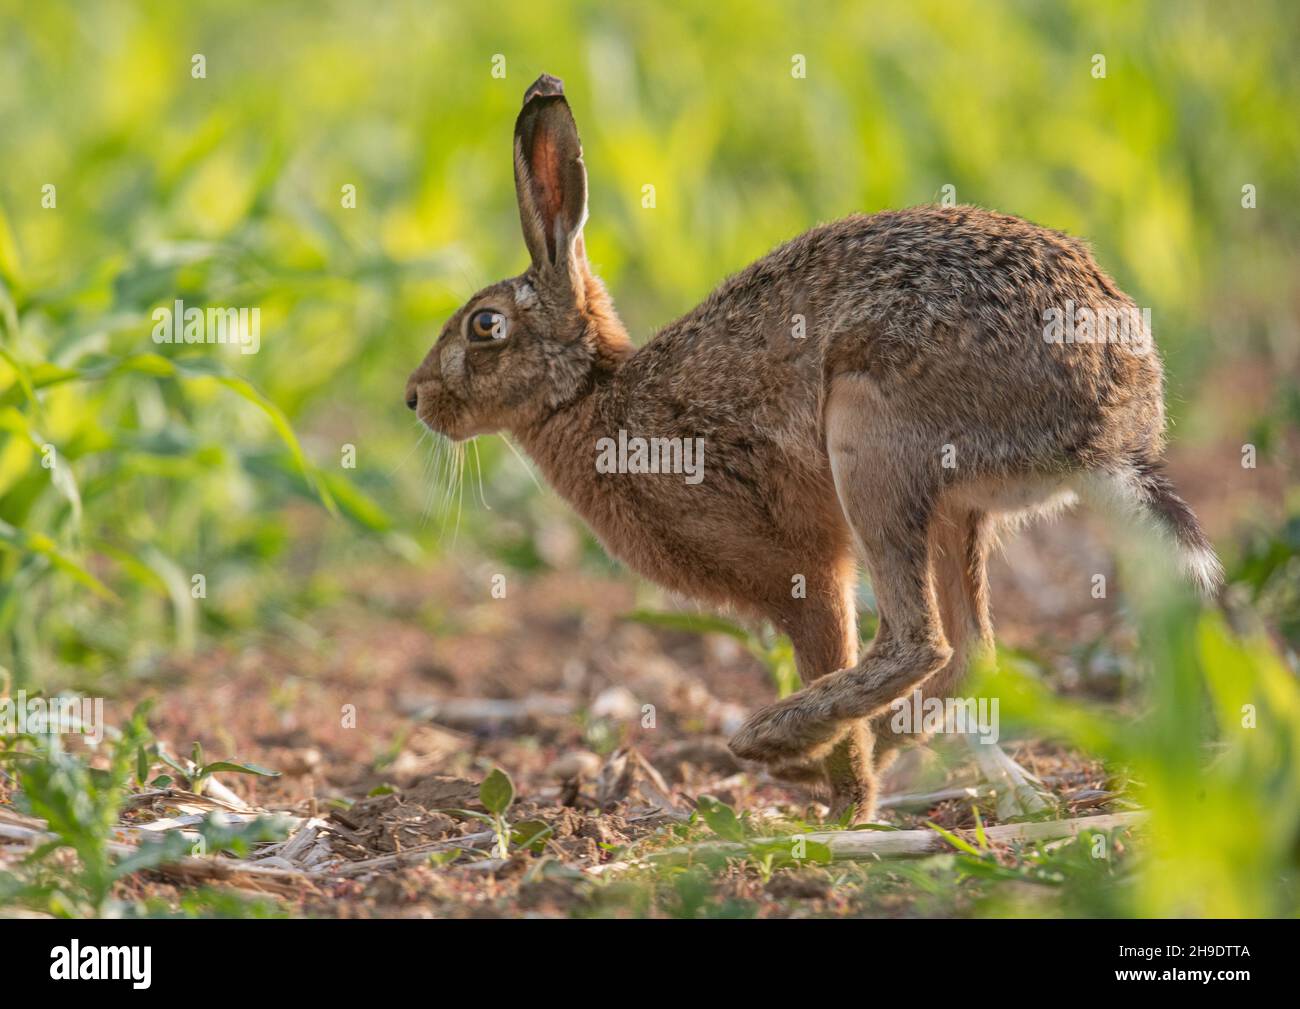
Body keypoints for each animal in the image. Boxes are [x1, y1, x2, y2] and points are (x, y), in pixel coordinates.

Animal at [404, 73, 1222, 823]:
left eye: (484, 326)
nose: (414, 398)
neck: (591, 393)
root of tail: (1109, 425)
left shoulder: (798, 564)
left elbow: (831, 641)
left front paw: (844, 807)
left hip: (870, 438)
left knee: (920, 643)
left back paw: (773, 742)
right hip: (956, 508)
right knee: (968, 655)